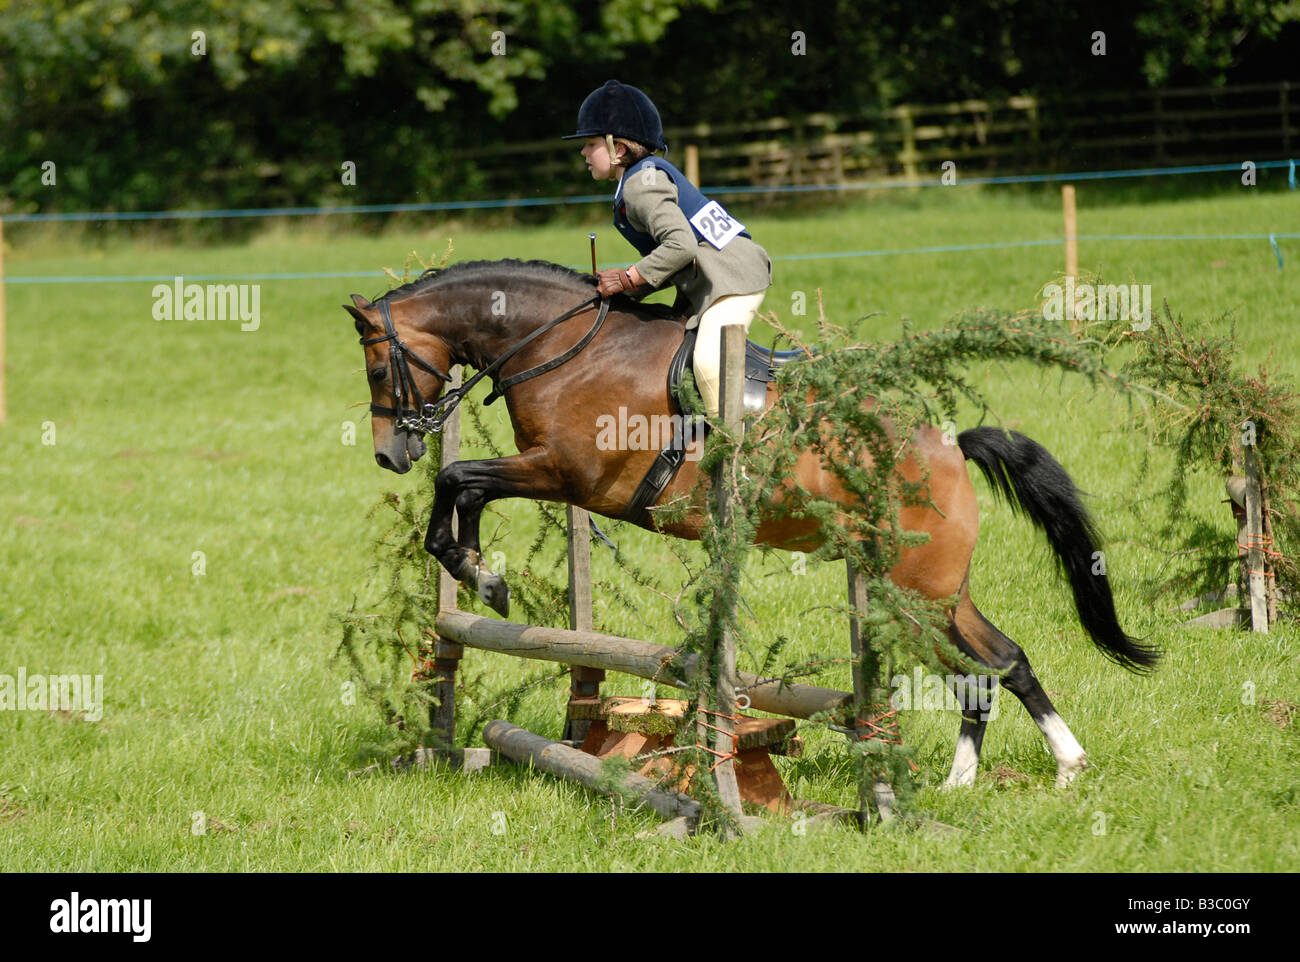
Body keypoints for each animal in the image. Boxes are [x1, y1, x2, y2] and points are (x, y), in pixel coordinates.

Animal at [344, 258, 1159, 789]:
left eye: (379, 370)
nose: (388, 453)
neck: (561, 347)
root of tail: (951, 444)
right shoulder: (556, 475)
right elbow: (463, 488)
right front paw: (481, 574)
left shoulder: (567, 473)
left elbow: (459, 481)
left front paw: (477, 572)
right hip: (934, 590)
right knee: (1001, 663)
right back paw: (1032, 772)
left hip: (913, 592)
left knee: (979, 672)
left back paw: (981, 779)